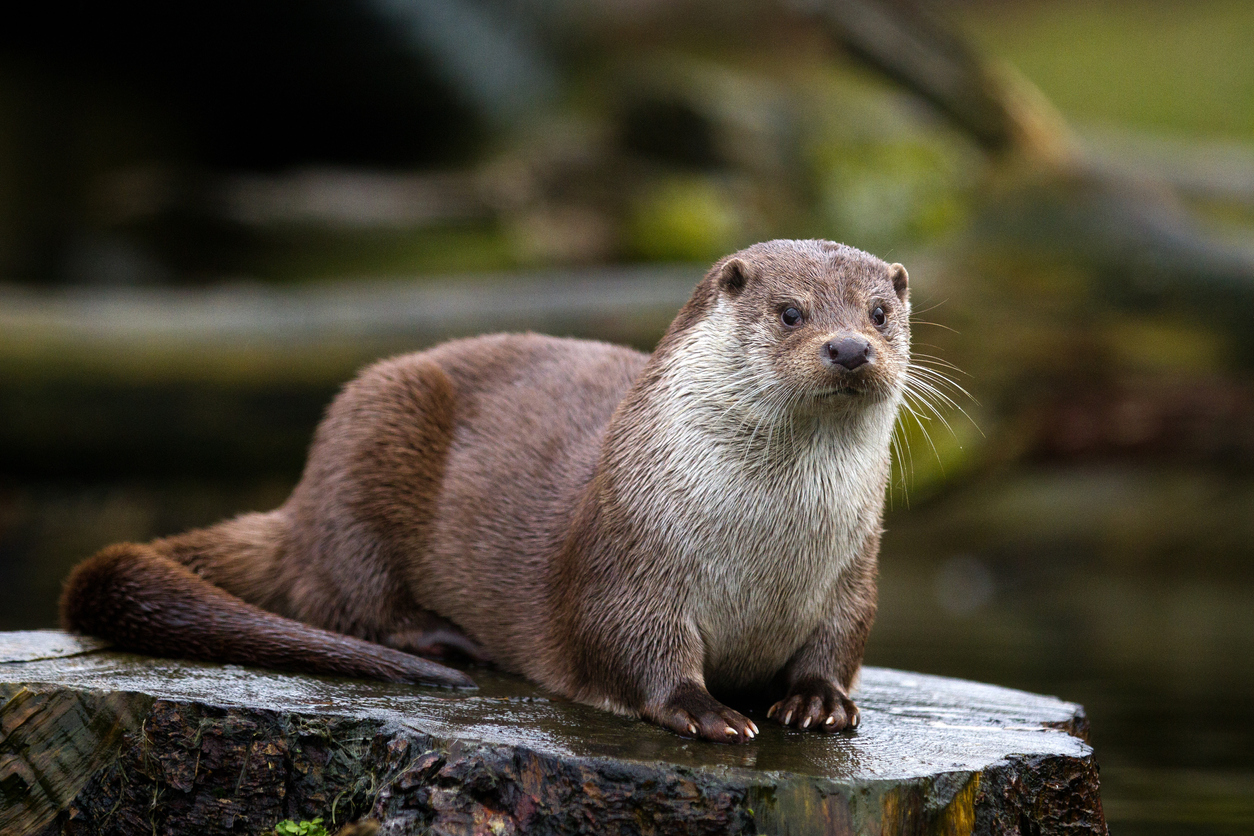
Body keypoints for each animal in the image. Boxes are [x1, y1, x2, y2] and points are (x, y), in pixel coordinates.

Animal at [62, 239, 911, 743]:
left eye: (880, 312)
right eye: (791, 312)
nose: (849, 348)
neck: (767, 552)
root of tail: (298, 507)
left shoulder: (855, 574)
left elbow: (842, 641)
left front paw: (817, 702)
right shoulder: (627, 560)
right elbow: (632, 647)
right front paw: (707, 711)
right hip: (369, 433)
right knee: (341, 595)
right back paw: (444, 641)